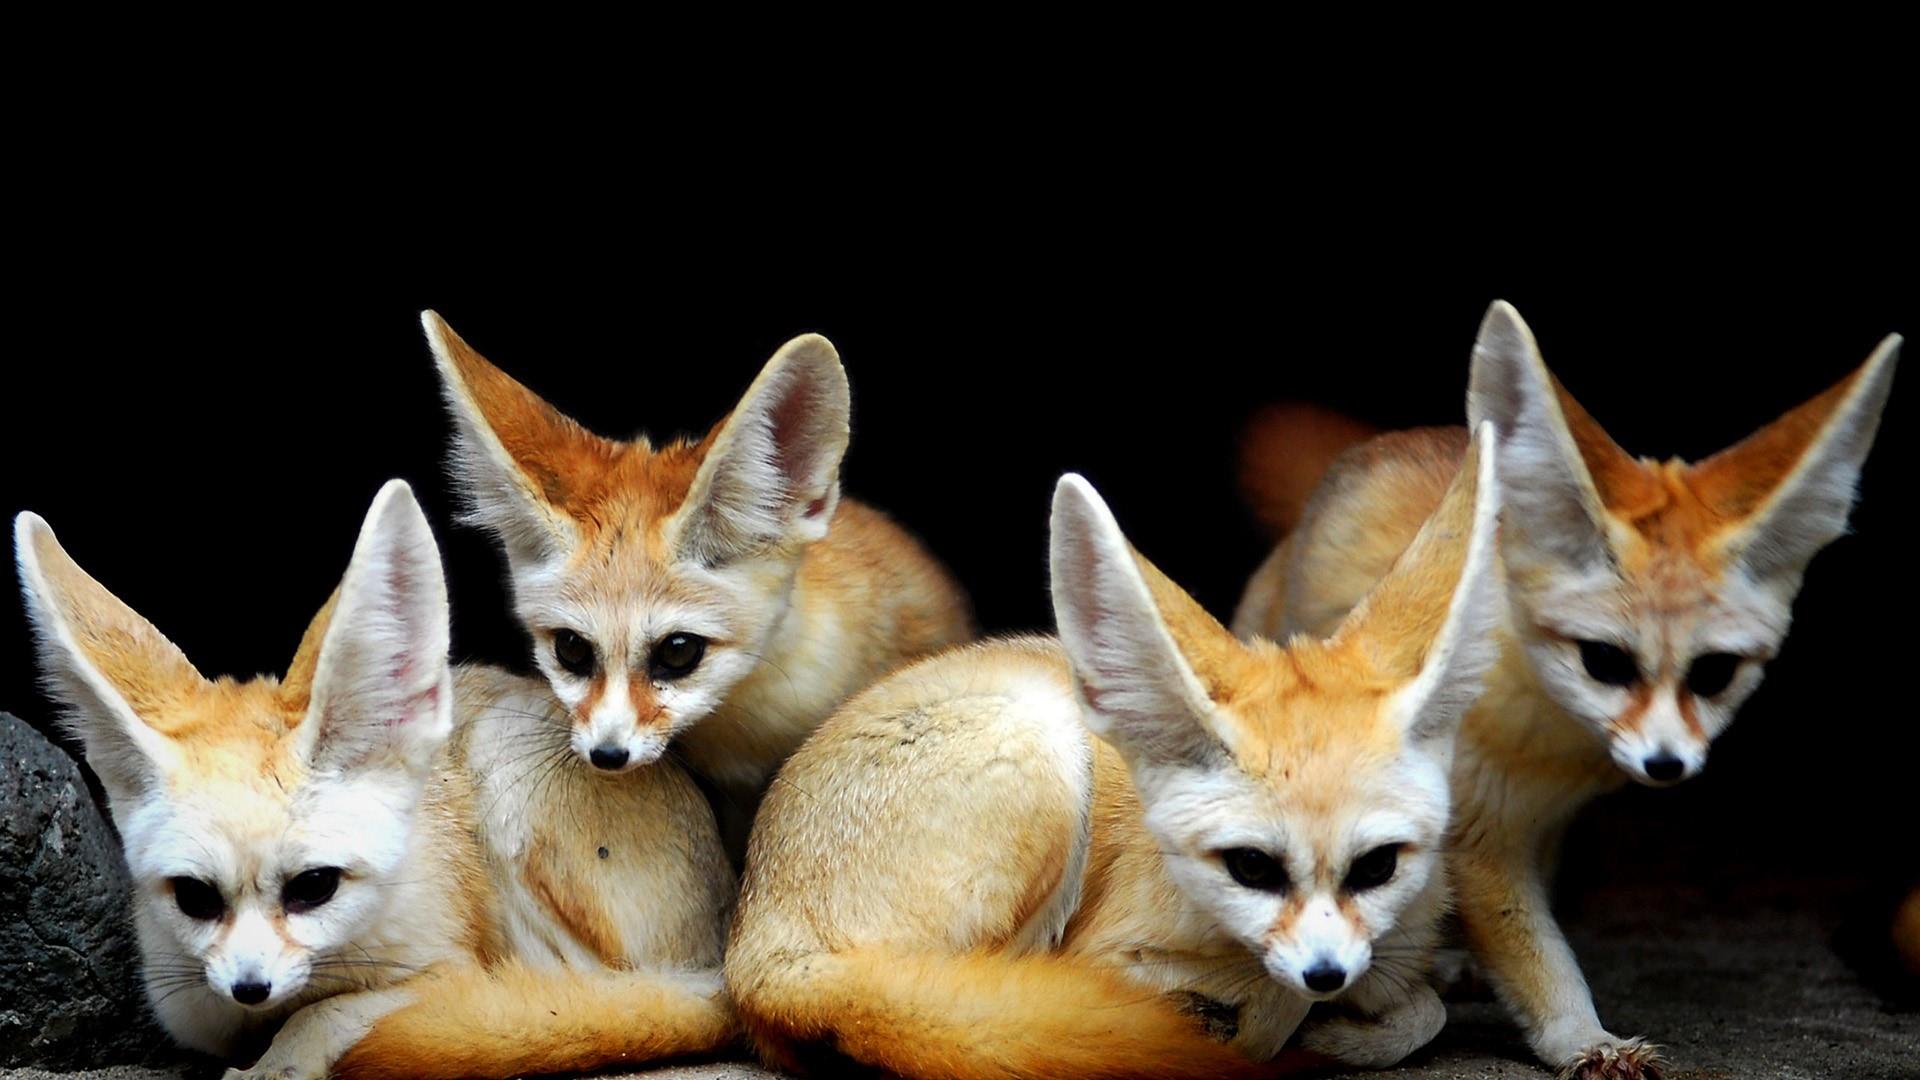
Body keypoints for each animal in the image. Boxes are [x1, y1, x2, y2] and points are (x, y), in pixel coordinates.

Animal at [15, 480, 733, 1080]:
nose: (250, 987)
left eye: (314, 888)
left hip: (506, 767)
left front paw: (283, 1058)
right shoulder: (192, 1007)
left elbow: (335, 1012)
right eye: (195, 897)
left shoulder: (448, 965)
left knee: (606, 998)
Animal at [725, 430, 1503, 1080]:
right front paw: (1291, 1030)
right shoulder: (1110, 950)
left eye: (1377, 867)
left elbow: (1423, 1008)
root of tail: (754, 943)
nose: (1327, 974)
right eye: (1250, 867)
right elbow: (1275, 1007)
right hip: (1044, 759)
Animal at [1233, 302, 1901, 1078]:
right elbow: (1530, 958)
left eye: (1713, 673)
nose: (1666, 764)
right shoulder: (1470, 835)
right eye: (1604, 662)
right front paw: (1584, 1038)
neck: (1554, 748)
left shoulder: (1527, 827)